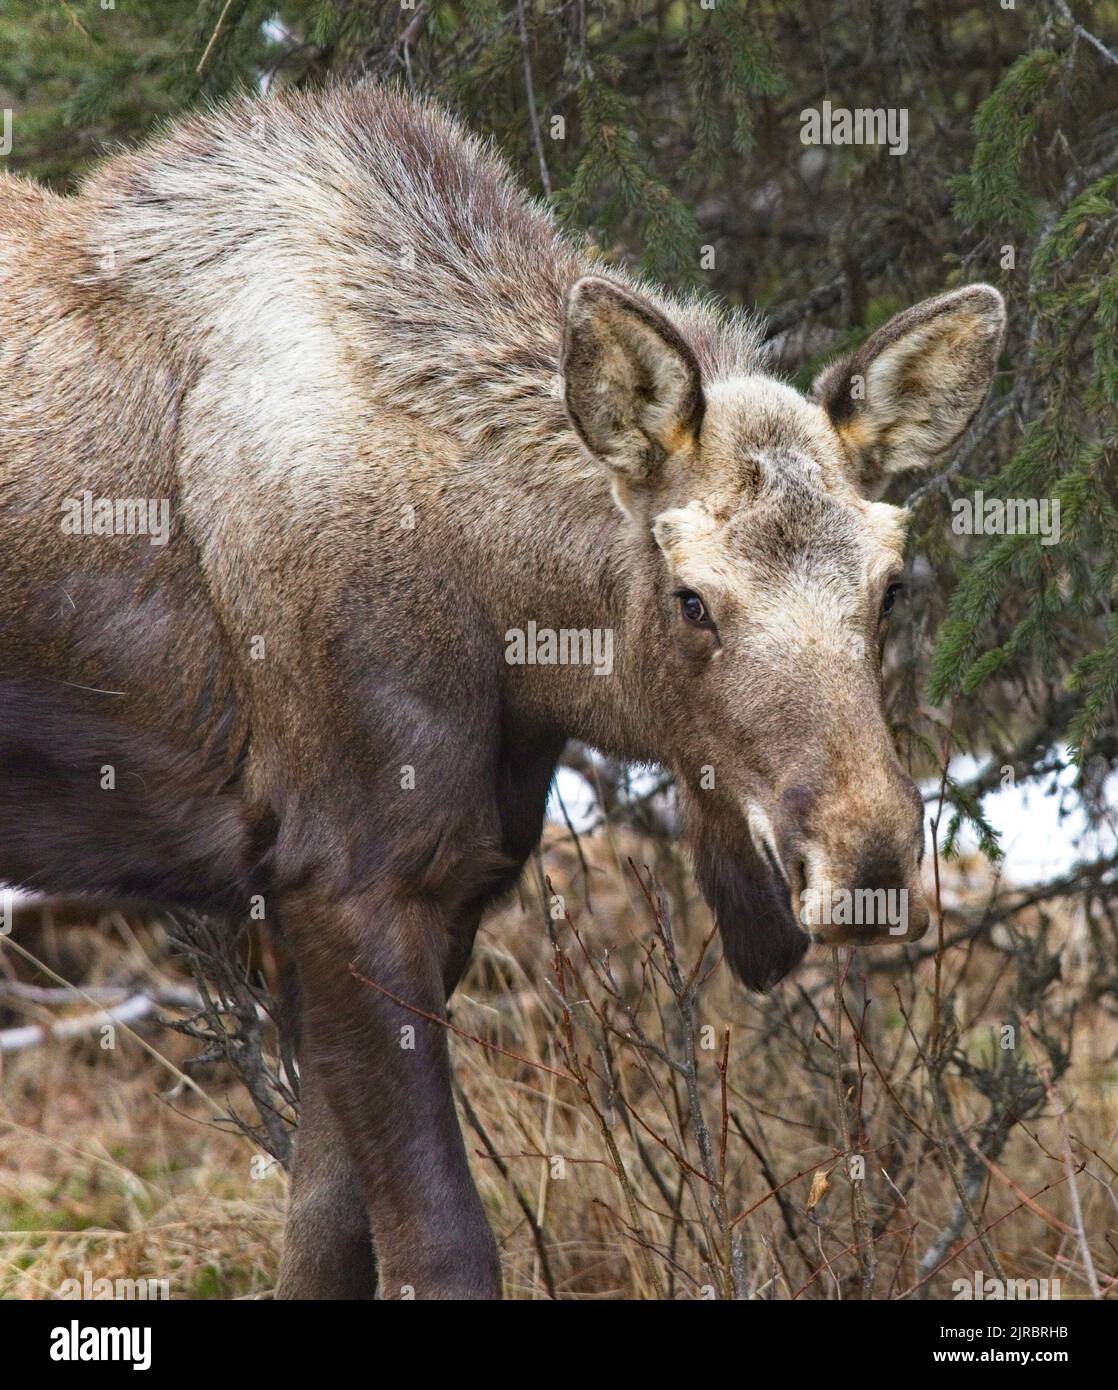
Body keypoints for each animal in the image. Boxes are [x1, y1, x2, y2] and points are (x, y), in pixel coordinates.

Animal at [0, 84, 1005, 1299]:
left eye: (891, 584)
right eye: (690, 598)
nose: (866, 863)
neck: (519, 648)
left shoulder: (449, 885)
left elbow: (323, 1237)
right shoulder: (349, 877)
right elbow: (442, 1245)